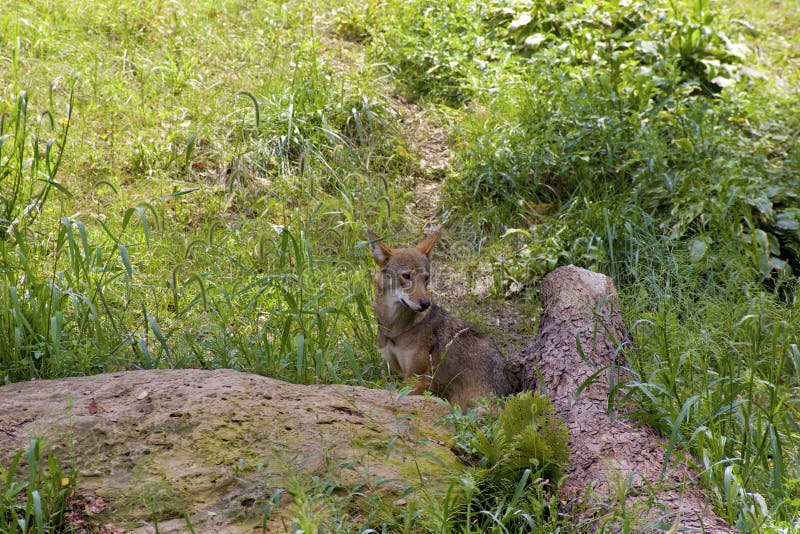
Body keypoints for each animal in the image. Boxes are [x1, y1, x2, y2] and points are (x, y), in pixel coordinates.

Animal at [367, 227, 515, 408]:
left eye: (426, 278)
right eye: (406, 276)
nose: (425, 304)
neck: (394, 329)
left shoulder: (416, 379)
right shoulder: (403, 374)